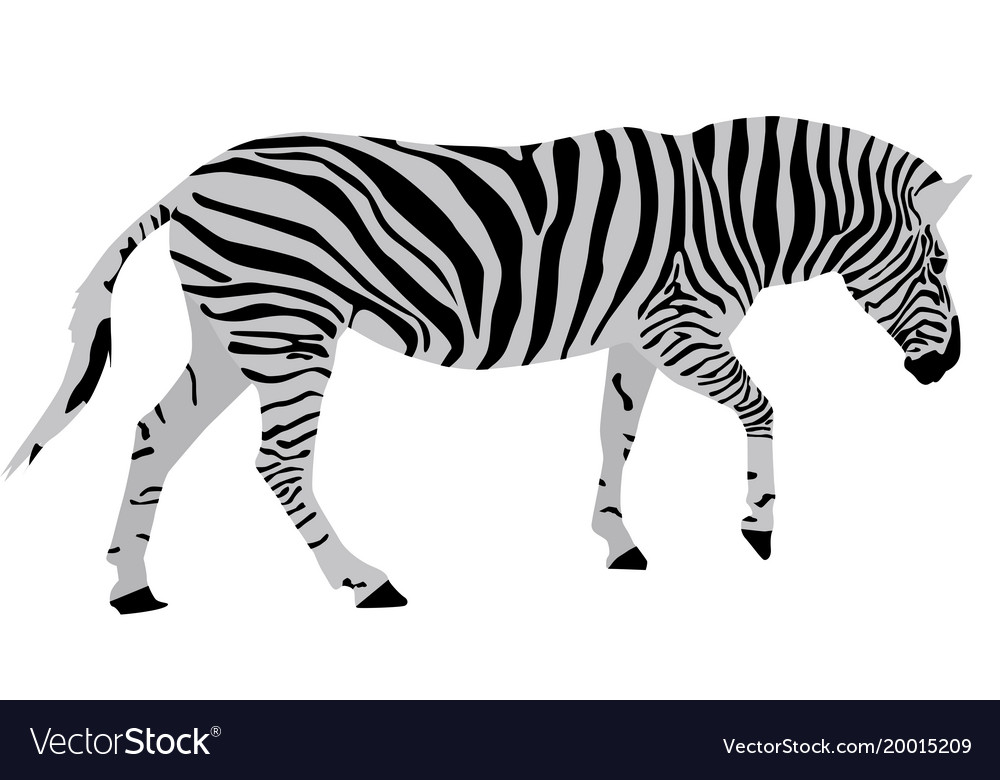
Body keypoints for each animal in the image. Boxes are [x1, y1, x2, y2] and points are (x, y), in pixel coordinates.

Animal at [5, 117, 968, 612]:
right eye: (941, 264)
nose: (950, 367)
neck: (734, 209)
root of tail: (190, 181)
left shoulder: (637, 336)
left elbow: (616, 432)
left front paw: (616, 538)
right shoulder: (680, 326)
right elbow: (763, 406)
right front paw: (758, 525)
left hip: (234, 331)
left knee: (154, 431)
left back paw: (131, 584)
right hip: (289, 328)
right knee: (275, 461)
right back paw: (360, 580)